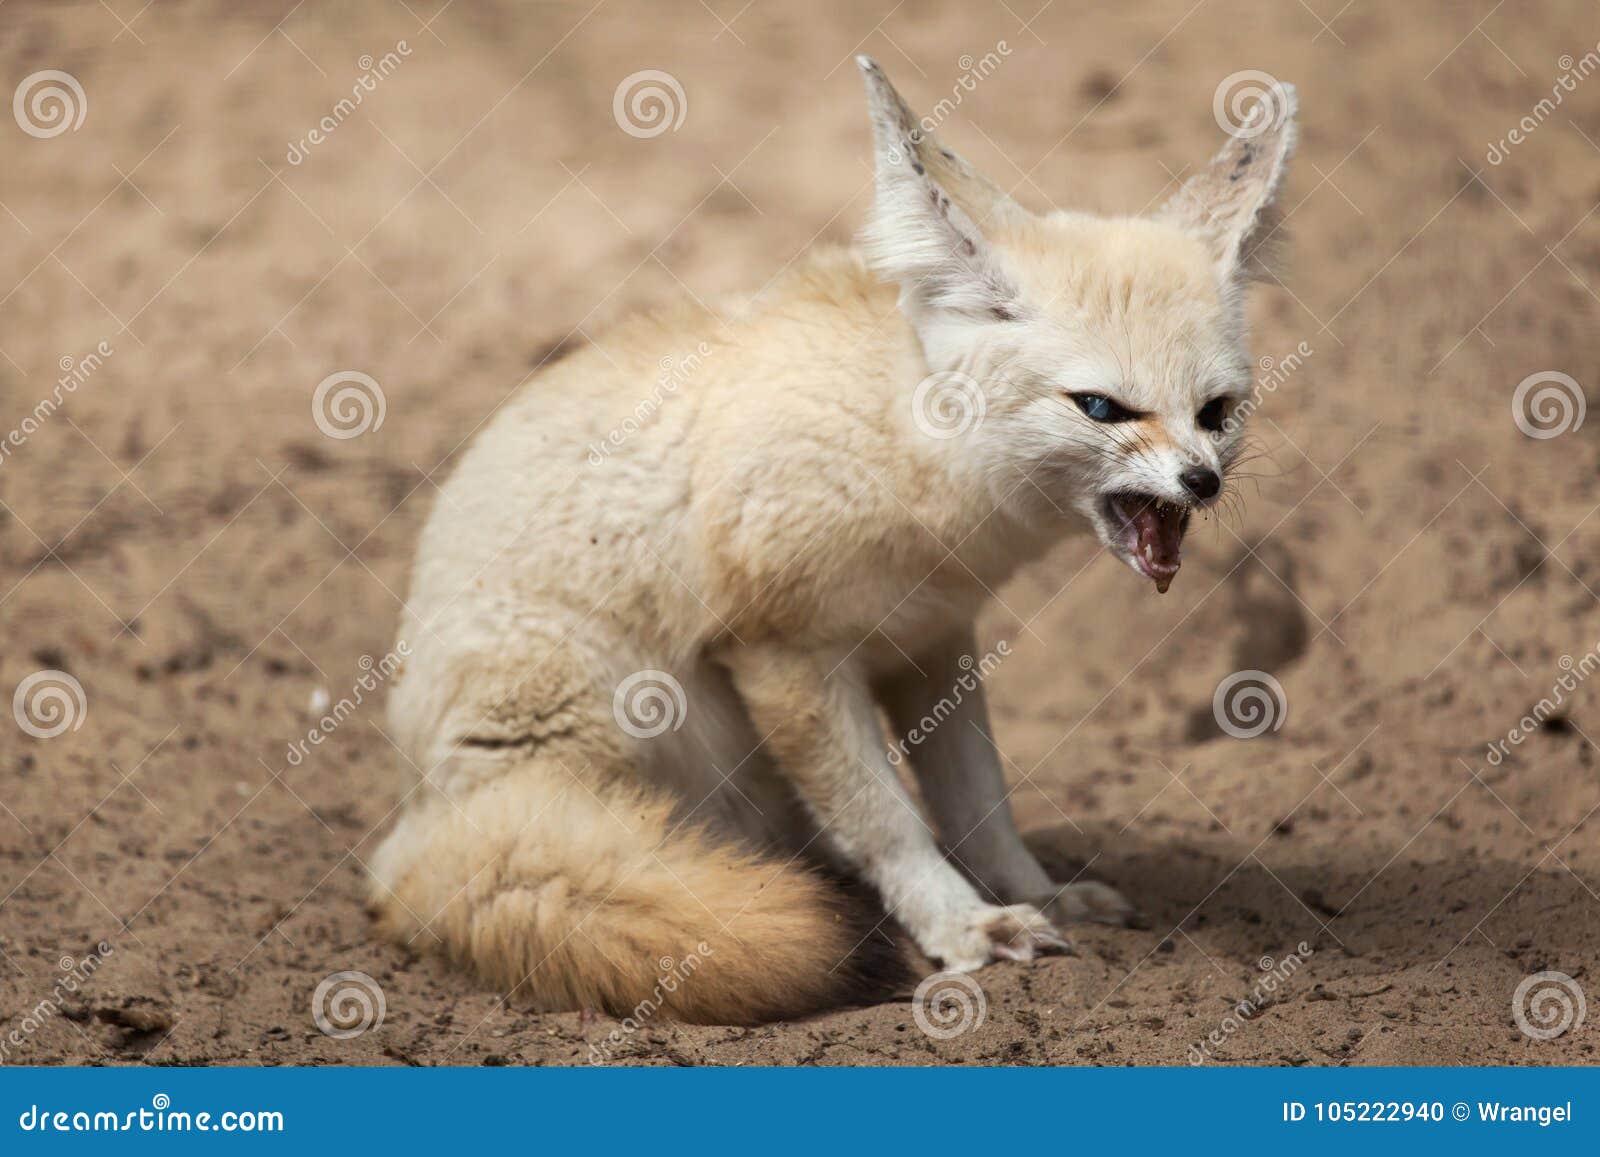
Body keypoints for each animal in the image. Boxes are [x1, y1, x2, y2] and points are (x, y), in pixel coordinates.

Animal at [368, 58, 1297, 1024]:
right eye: (1103, 407)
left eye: (1217, 413)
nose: (1203, 482)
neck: (906, 454)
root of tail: (415, 829)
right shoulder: (785, 655)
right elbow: (887, 819)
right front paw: (962, 925)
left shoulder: (933, 640)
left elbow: (980, 802)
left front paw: (1031, 892)